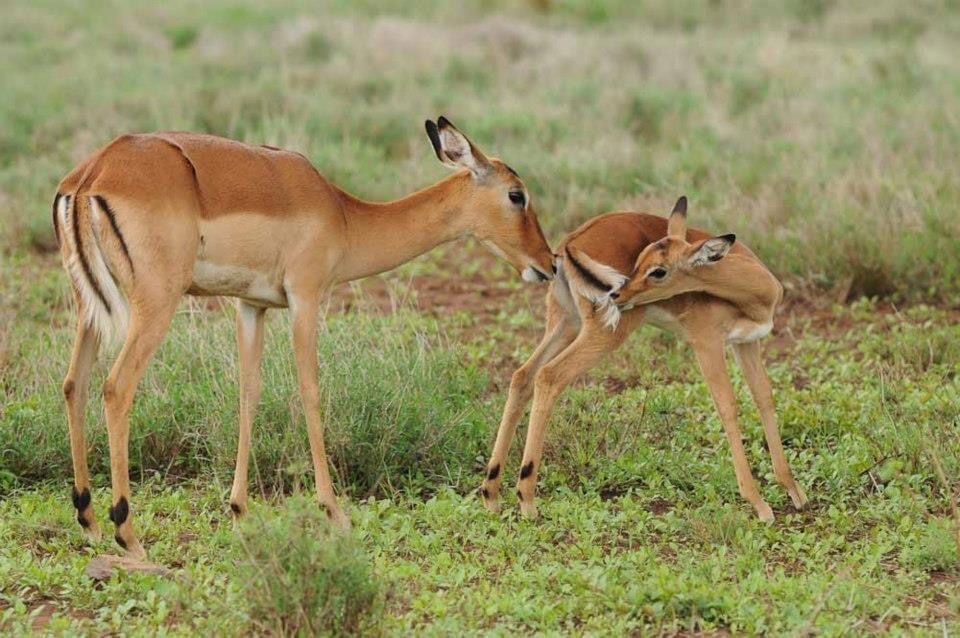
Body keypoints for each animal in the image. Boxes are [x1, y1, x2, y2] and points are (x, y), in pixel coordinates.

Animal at [54, 117, 555, 557]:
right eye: (517, 195)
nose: (548, 265)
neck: (343, 215)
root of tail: (95, 172)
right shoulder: (306, 299)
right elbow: (310, 390)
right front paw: (334, 511)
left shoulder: (251, 306)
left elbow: (249, 393)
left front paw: (239, 510)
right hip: (155, 303)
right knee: (116, 388)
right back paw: (127, 534)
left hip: (88, 309)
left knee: (75, 384)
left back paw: (89, 521)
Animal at [480, 196, 808, 521]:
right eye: (639, 262)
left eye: (658, 270)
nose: (618, 294)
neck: (754, 292)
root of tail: (568, 245)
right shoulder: (707, 343)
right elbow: (727, 405)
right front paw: (759, 504)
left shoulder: (748, 343)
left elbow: (764, 397)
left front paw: (794, 491)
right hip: (606, 332)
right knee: (549, 376)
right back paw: (527, 500)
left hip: (566, 323)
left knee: (523, 376)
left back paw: (491, 494)